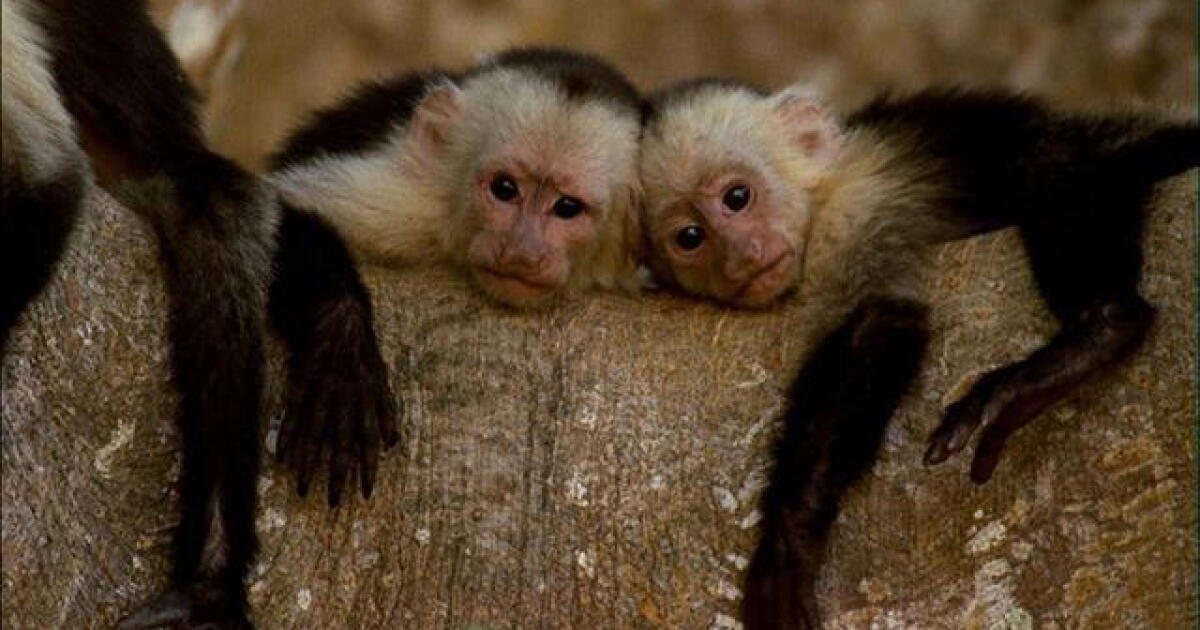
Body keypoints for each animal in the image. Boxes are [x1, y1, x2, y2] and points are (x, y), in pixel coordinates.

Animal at [637, 79, 1198, 628]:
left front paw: (787, 535)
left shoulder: (854, 209)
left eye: (737, 197)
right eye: (690, 237)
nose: (741, 257)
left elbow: (881, 320)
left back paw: (1099, 326)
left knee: (1048, 156)